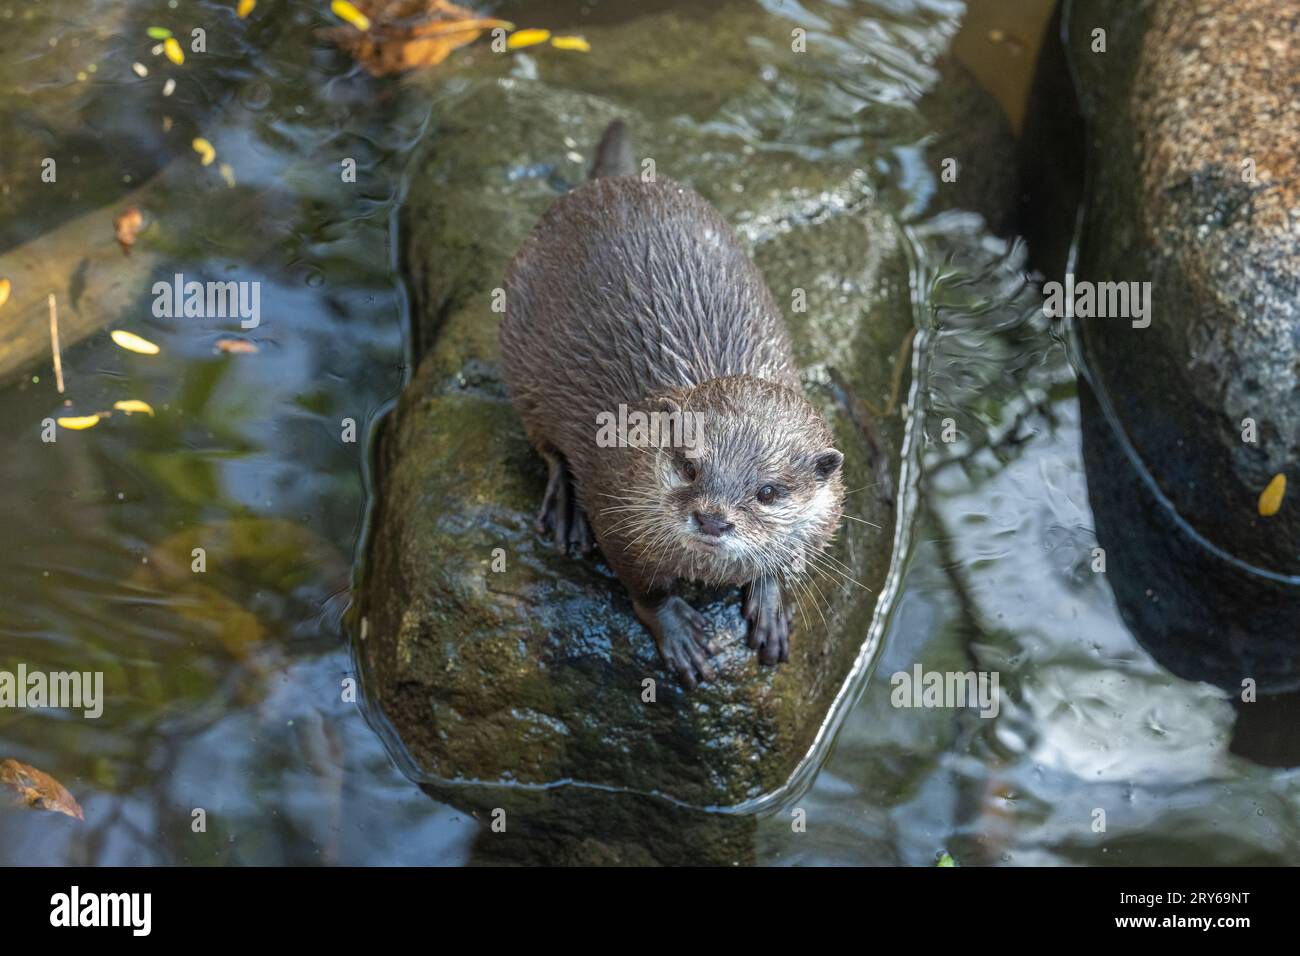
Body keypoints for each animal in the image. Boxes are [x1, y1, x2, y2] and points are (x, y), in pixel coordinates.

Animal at [500, 121, 846, 688]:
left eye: (768, 492)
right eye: (688, 466)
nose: (712, 520)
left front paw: (771, 604)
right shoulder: (617, 510)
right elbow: (645, 586)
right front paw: (677, 631)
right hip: (518, 349)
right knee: (544, 443)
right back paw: (565, 508)